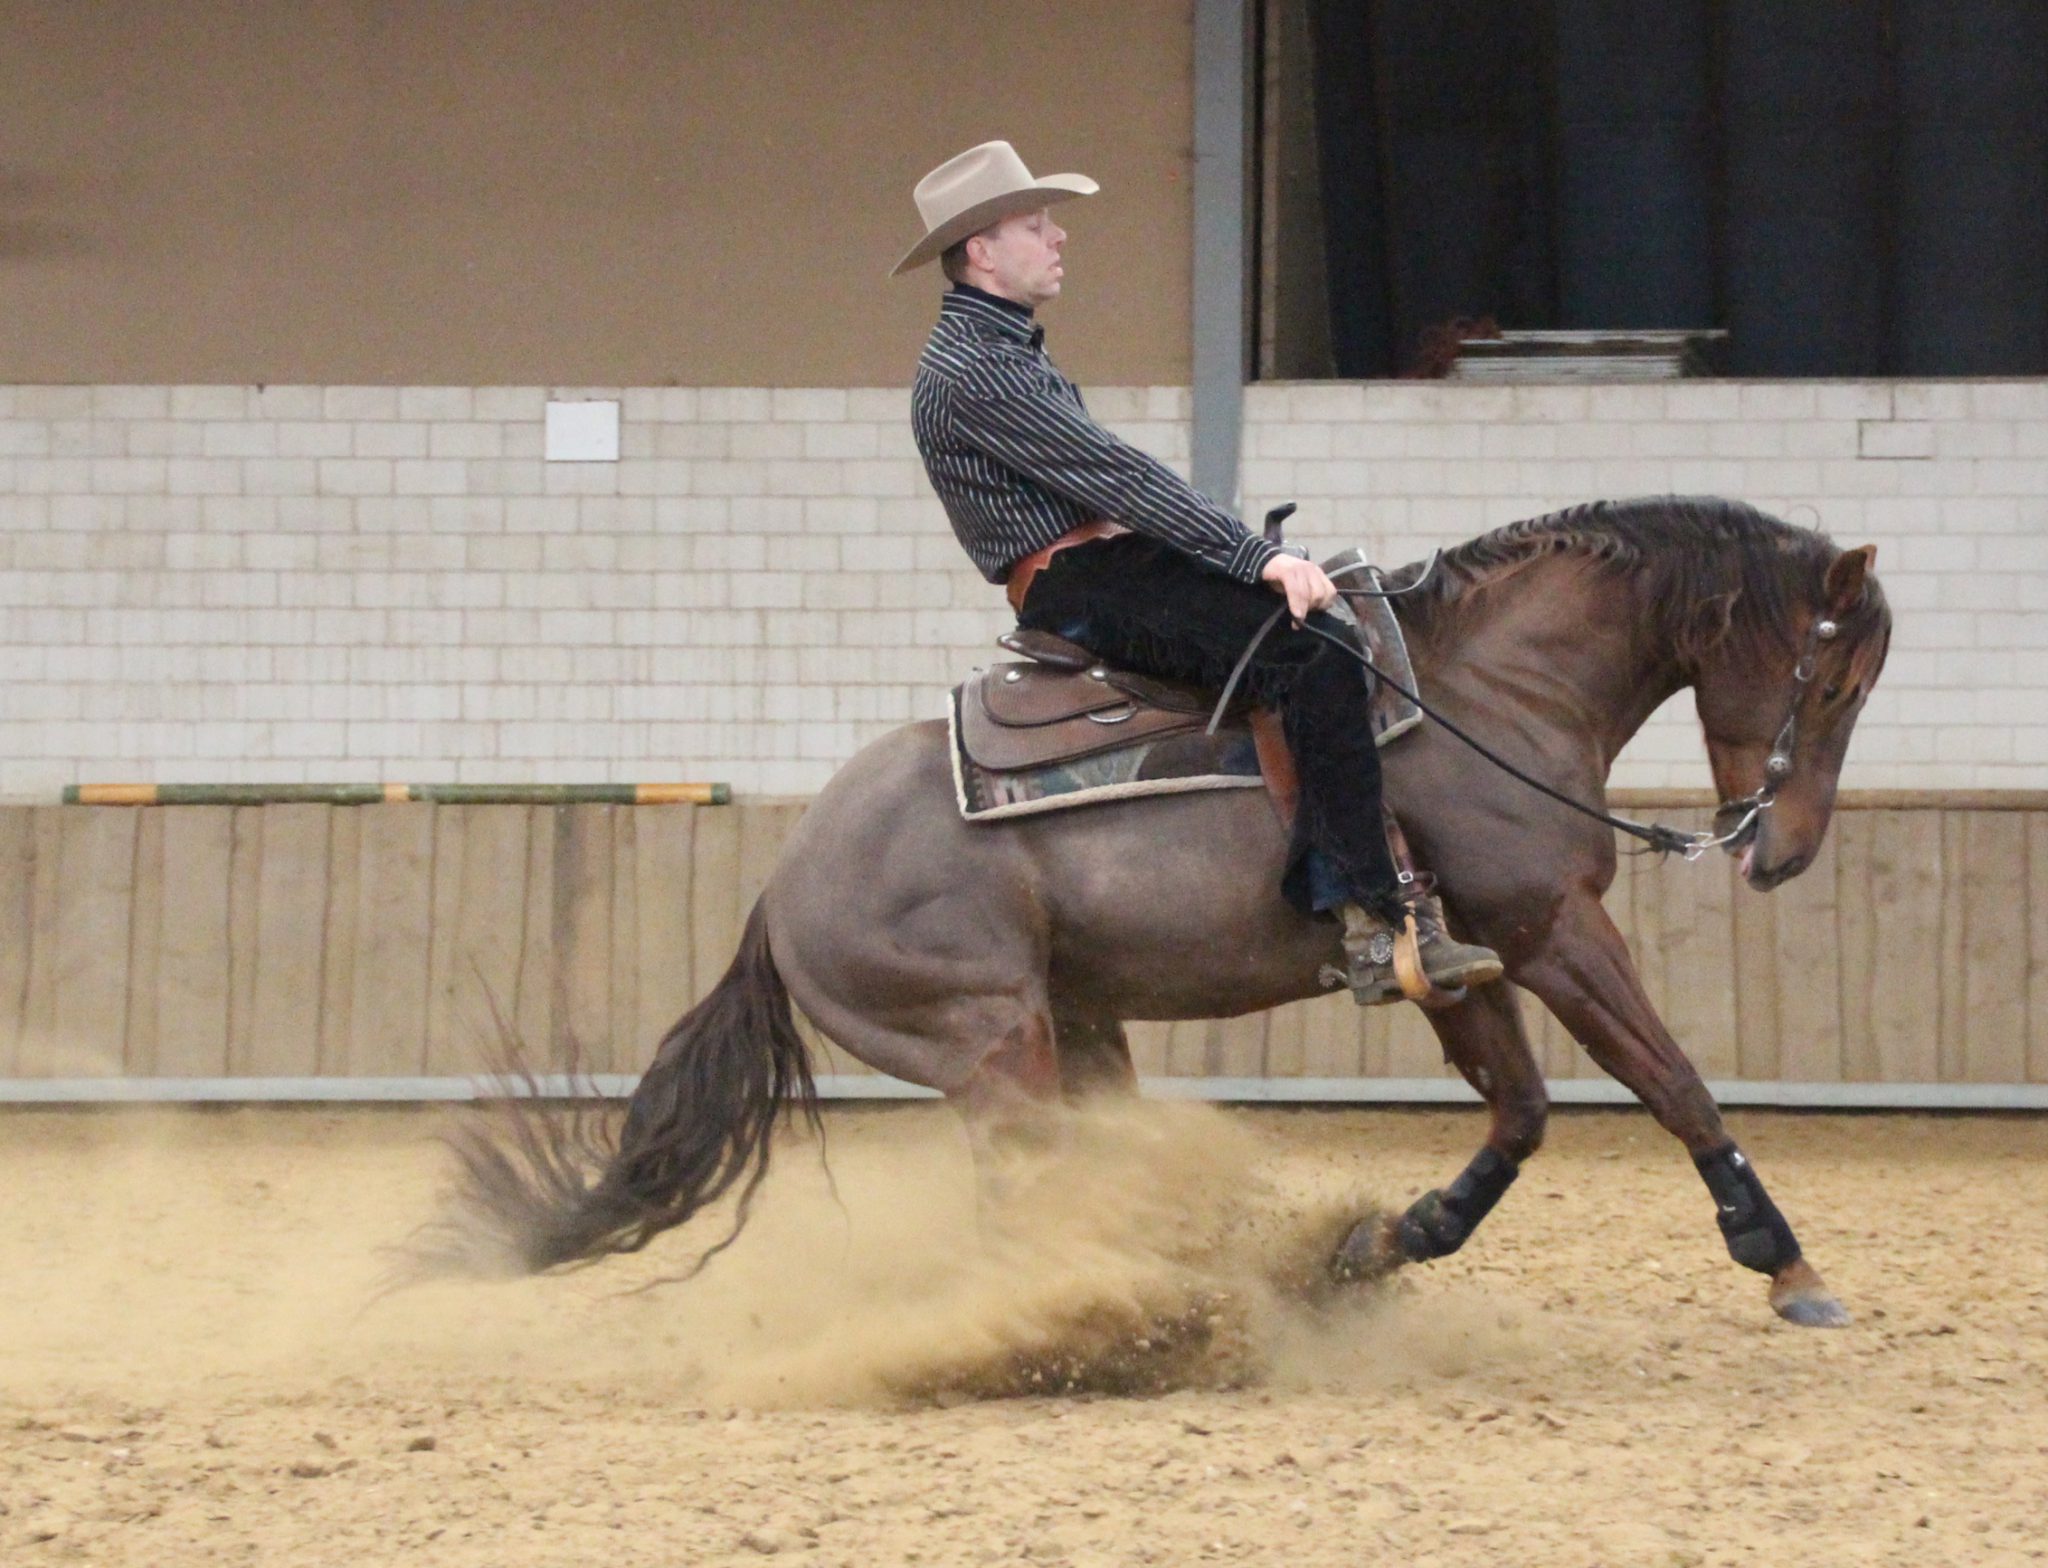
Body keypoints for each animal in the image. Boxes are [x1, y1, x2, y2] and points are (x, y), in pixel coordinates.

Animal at [435, 496, 1892, 1327]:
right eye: (1830, 682)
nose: (1782, 854)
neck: (1484, 690)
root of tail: (784, 885)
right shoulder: (1553, 934)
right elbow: (1673, 1081)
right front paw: (1785, 1261)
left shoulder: (1457, 966)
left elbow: (1521, 1117)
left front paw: (1378, 1244)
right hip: (996, 1042)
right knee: (1019, 1196)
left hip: (1080, 1028)